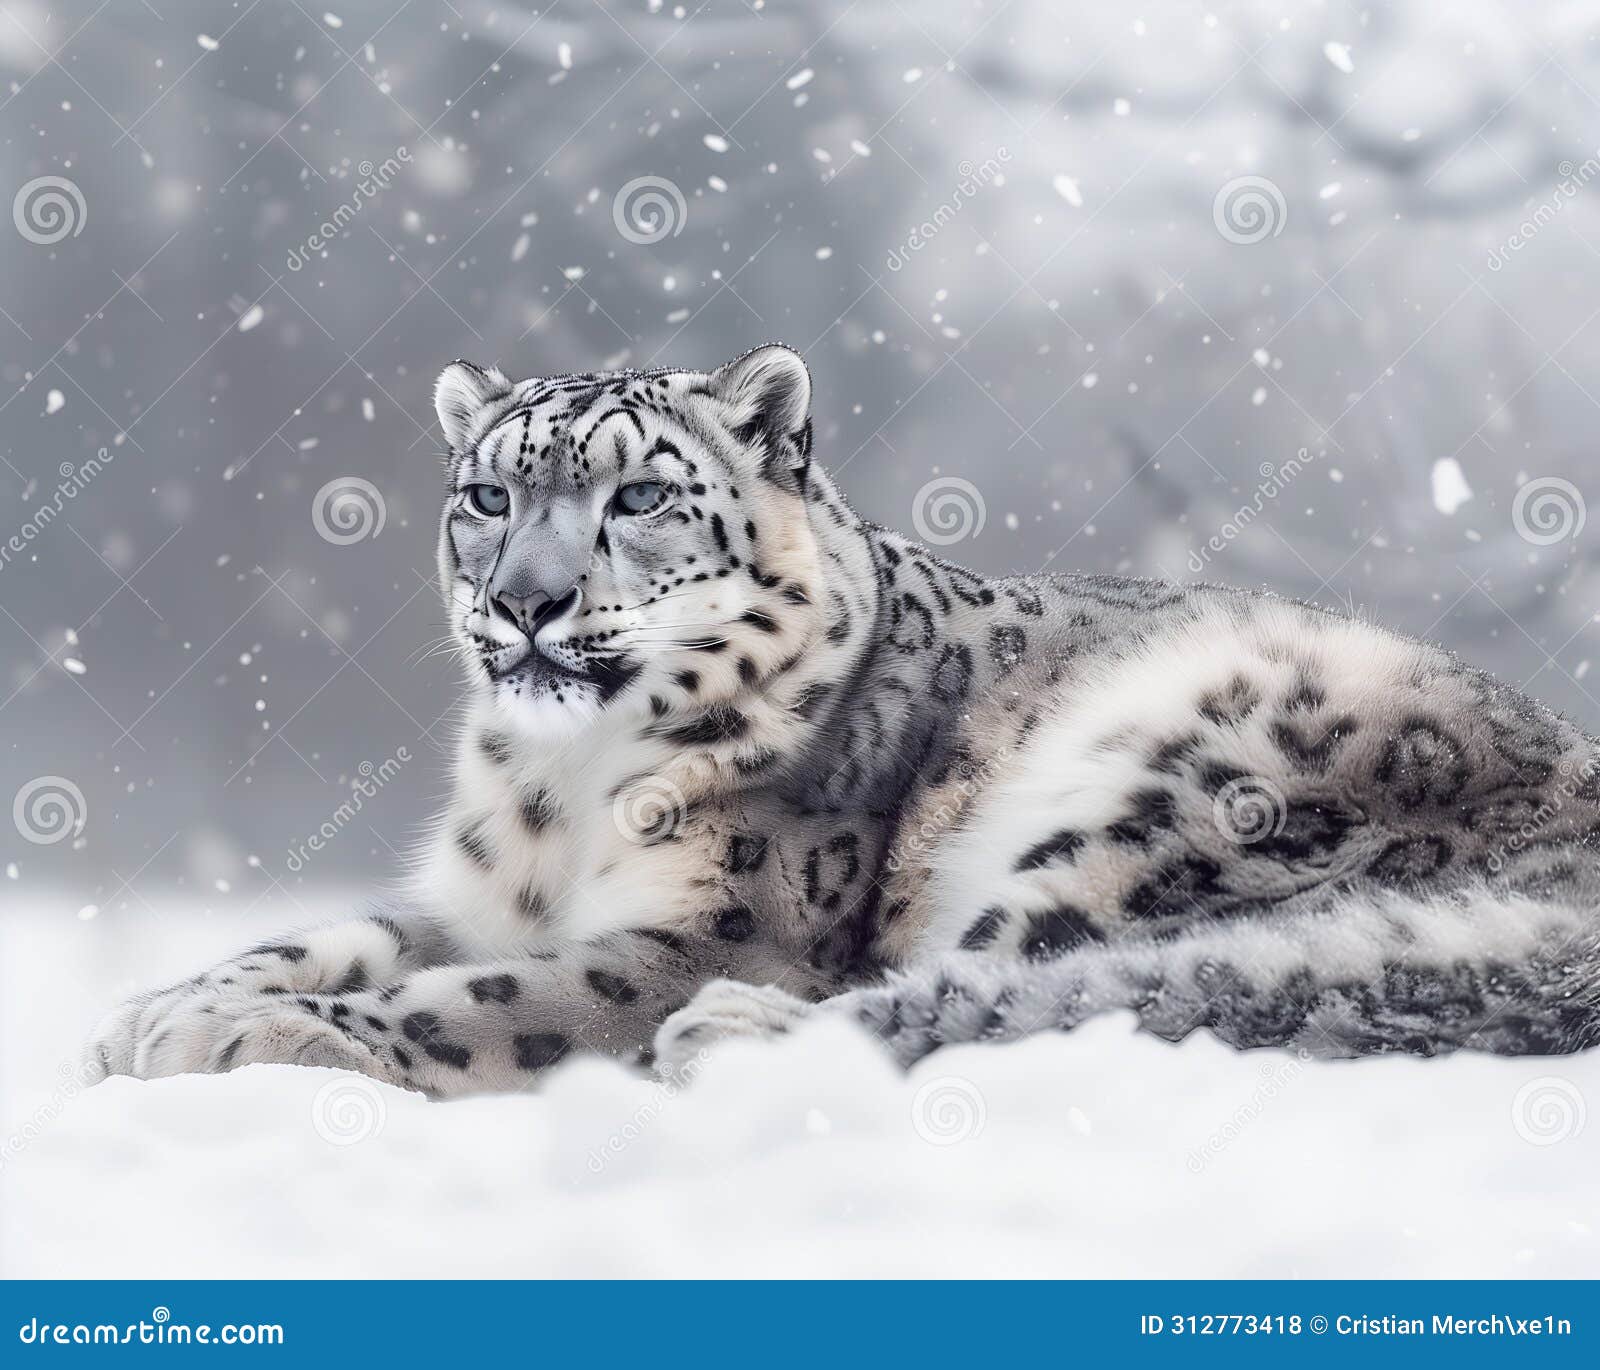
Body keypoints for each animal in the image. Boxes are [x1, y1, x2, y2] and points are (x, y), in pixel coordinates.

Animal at [85, 344, 1600, 1098]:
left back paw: (733, 1039)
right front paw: (161, 1006)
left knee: (1021, 988)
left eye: (641, 495)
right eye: (487, 494)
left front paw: (258, 1038)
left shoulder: (711, 927)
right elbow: (341, 931)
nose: (525, 599)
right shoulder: (484, 897)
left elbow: (490, 998)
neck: (556, 790)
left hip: (1177, 784)